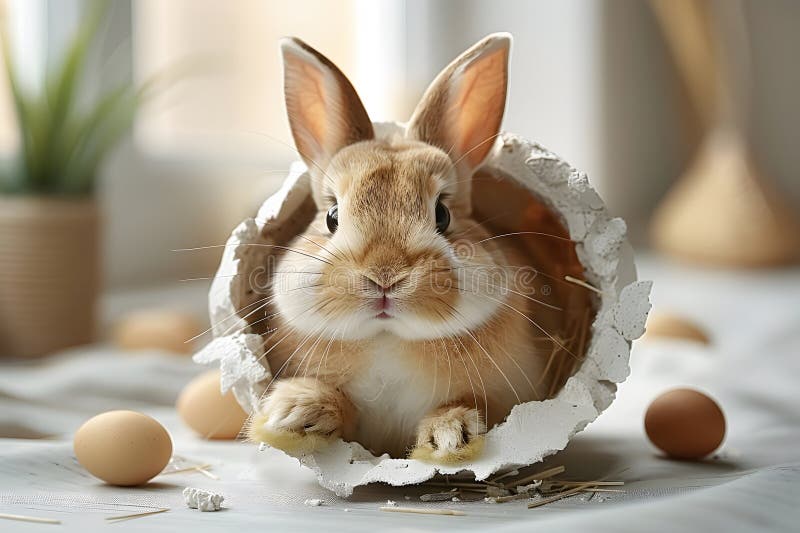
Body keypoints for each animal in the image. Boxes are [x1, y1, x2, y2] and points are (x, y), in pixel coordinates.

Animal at [249, 33, 550, 463]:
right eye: (332, 217)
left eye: (442, 214)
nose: (384, 277)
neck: (387, 338)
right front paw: (293, 414)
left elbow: (469, 406)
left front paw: (449, 437)